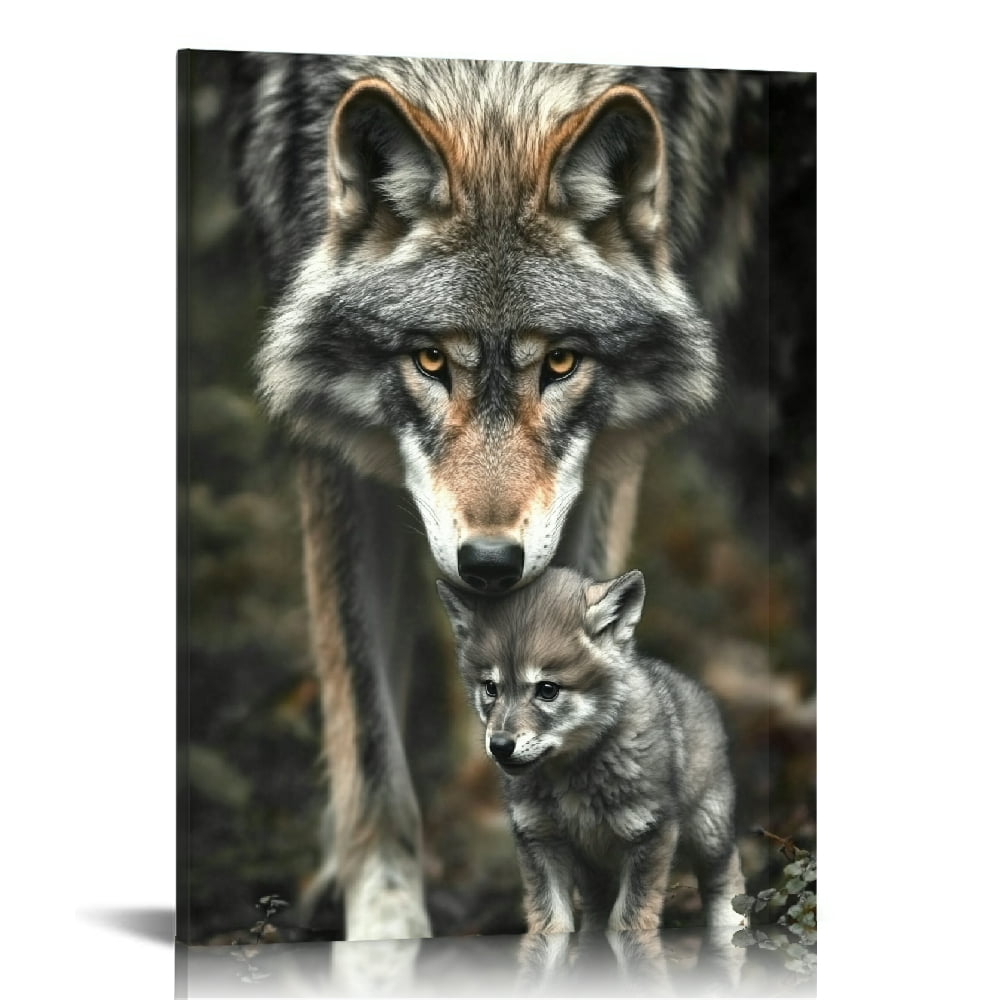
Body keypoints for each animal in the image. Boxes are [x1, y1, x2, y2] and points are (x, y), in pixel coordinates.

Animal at [437, 566, 744, 933]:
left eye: (547, 690)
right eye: (490, 688)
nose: (499, 746)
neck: (572, 775)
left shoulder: (650, 833)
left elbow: (629, 920)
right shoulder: (539, 837)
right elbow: (551, 922)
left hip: (707, 831)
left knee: (727, 876)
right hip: (597, 871)